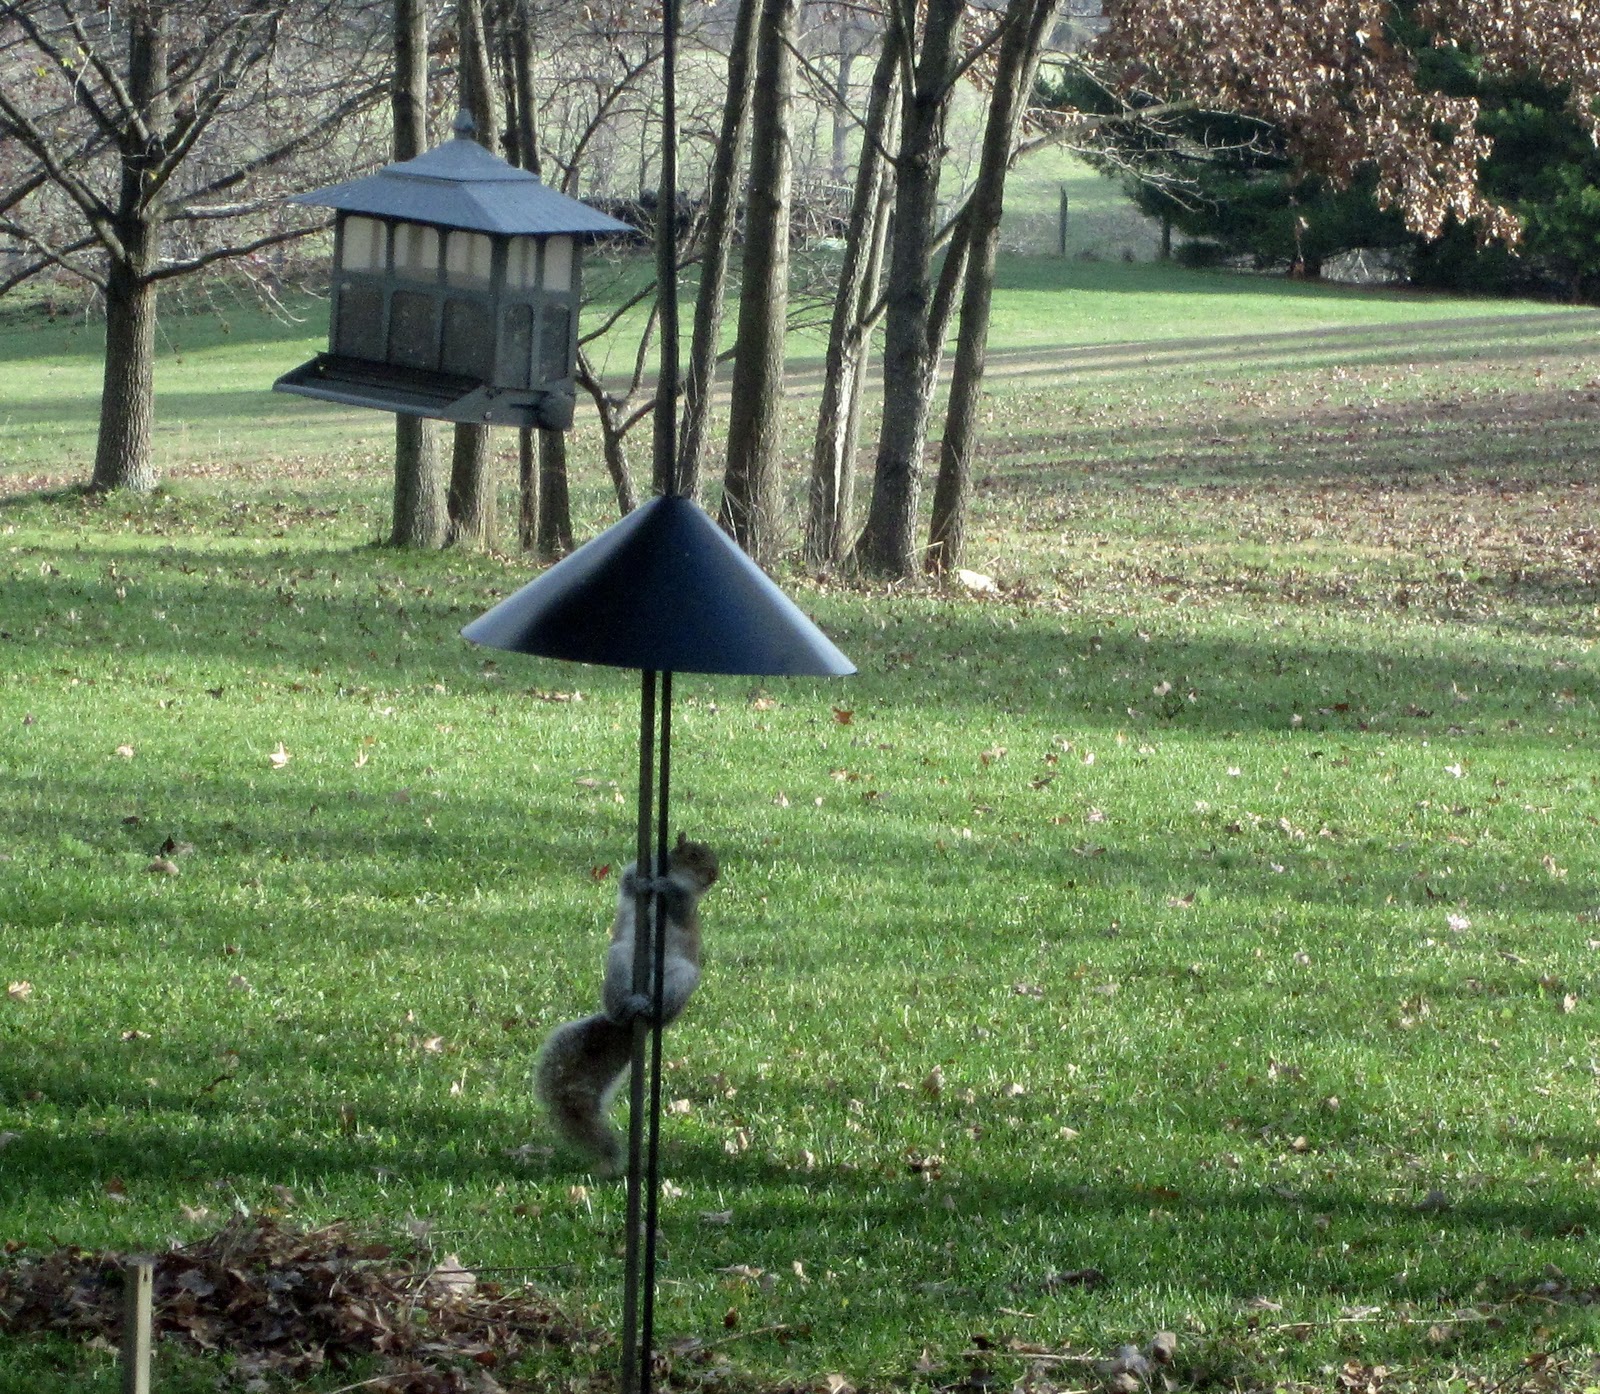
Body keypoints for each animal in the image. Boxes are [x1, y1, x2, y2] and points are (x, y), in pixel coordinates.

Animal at [534, 833, 719, 1174]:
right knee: (618, 1005)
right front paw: (643, 881)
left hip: (682, 976)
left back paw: (655, 1011)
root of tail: (632, 1022)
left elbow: (680, 903)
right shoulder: (636, 872)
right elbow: (628, 881)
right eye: (693, 853)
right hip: (622, 957)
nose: (713, 875)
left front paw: (665, 886)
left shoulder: (688, 907)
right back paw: (626, 1007)